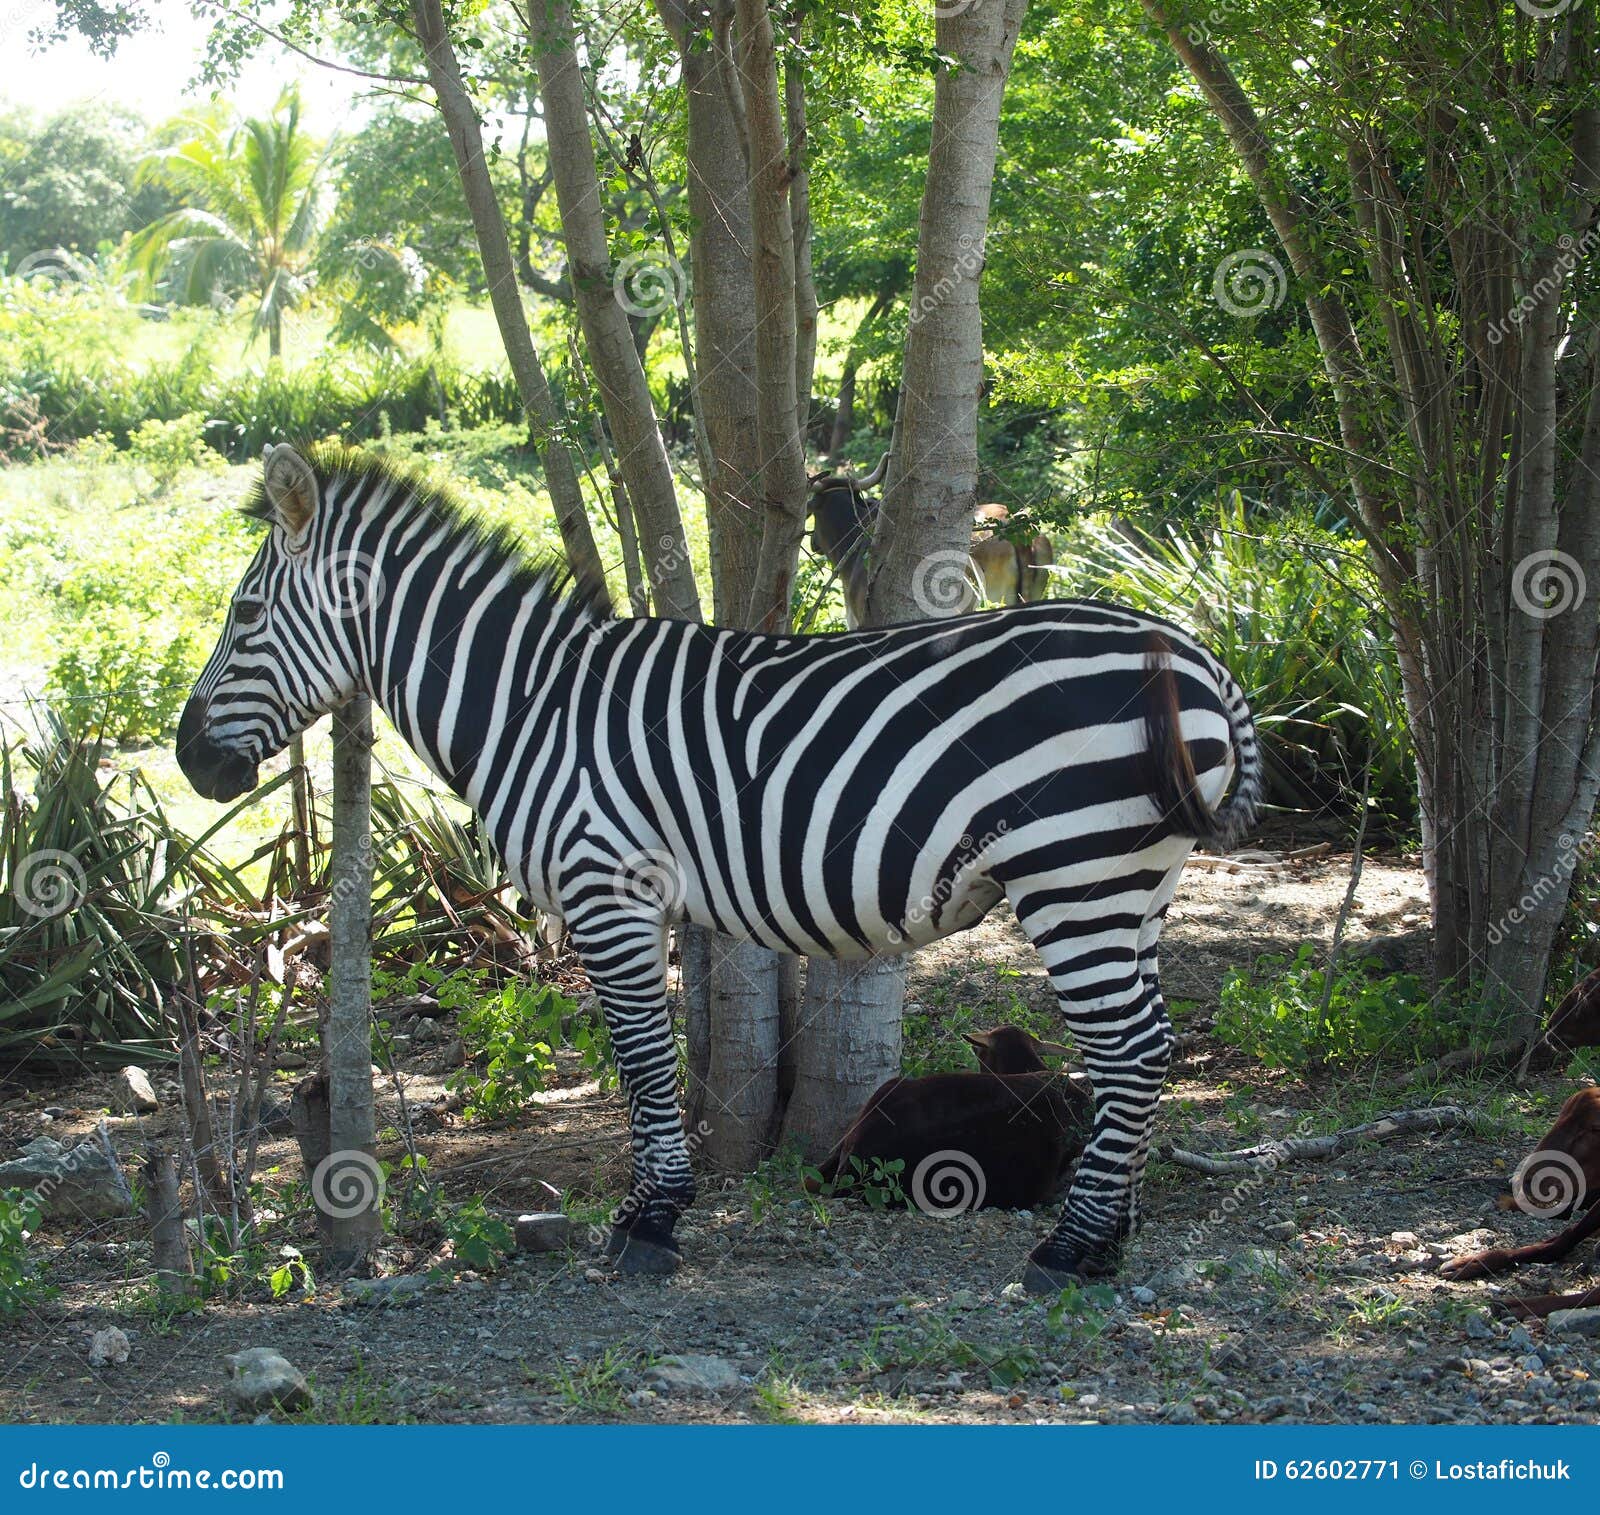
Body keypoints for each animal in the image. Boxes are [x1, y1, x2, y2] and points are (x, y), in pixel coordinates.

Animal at [1441, 1086, 1600, 1318]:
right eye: (1560, 1113)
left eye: (1594, 1128)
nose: (1527, 1179)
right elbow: (1560, 1240)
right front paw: (1473, 1261)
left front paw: (1521, 1305)